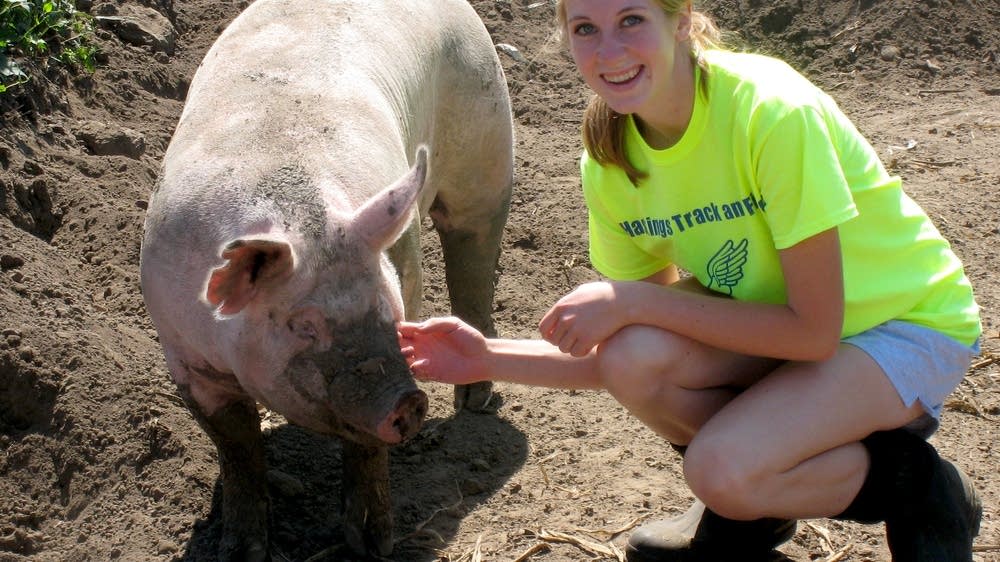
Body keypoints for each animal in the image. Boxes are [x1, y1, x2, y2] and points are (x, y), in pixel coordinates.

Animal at [138, 0, 513, 558]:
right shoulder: (183, 355)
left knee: (473, 258)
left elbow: (366, 447)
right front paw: (241, 551)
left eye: (388, 306)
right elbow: (238, 448)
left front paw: (373, 544)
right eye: (303, 325)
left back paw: (476, 402)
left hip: (486, 141)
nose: (407, 400)